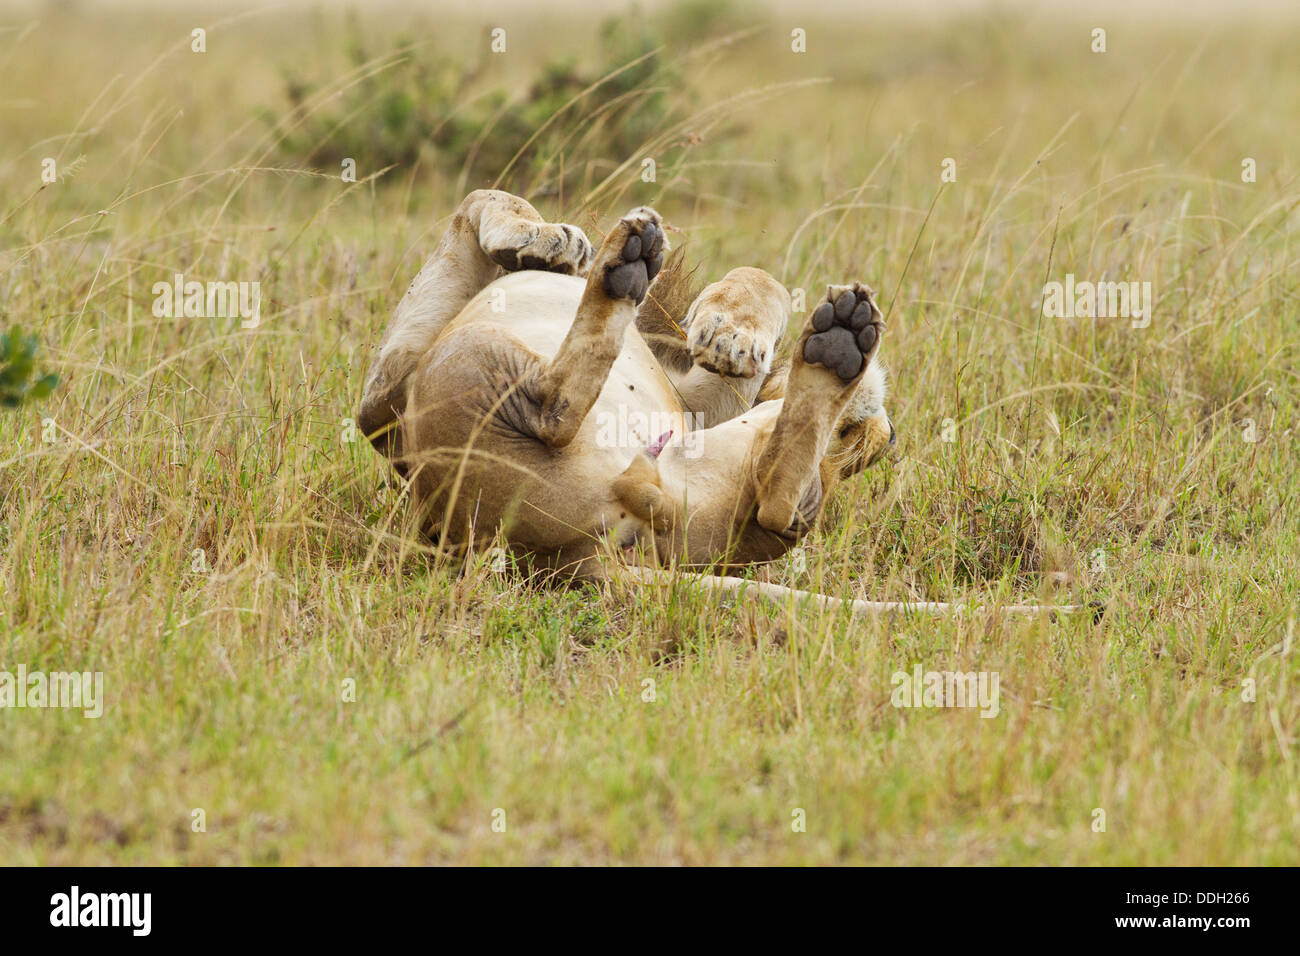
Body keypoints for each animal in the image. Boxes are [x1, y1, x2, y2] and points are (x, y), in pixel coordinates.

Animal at [357, 189, 894, 579]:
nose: (885, 439)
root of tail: (589, 546)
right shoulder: (697, 404)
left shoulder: (387, 394)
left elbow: (481, 196)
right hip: (712, 470)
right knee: (776, 507)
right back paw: (841, 346)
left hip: (464, 360)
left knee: (553, 408)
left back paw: (624, 263)